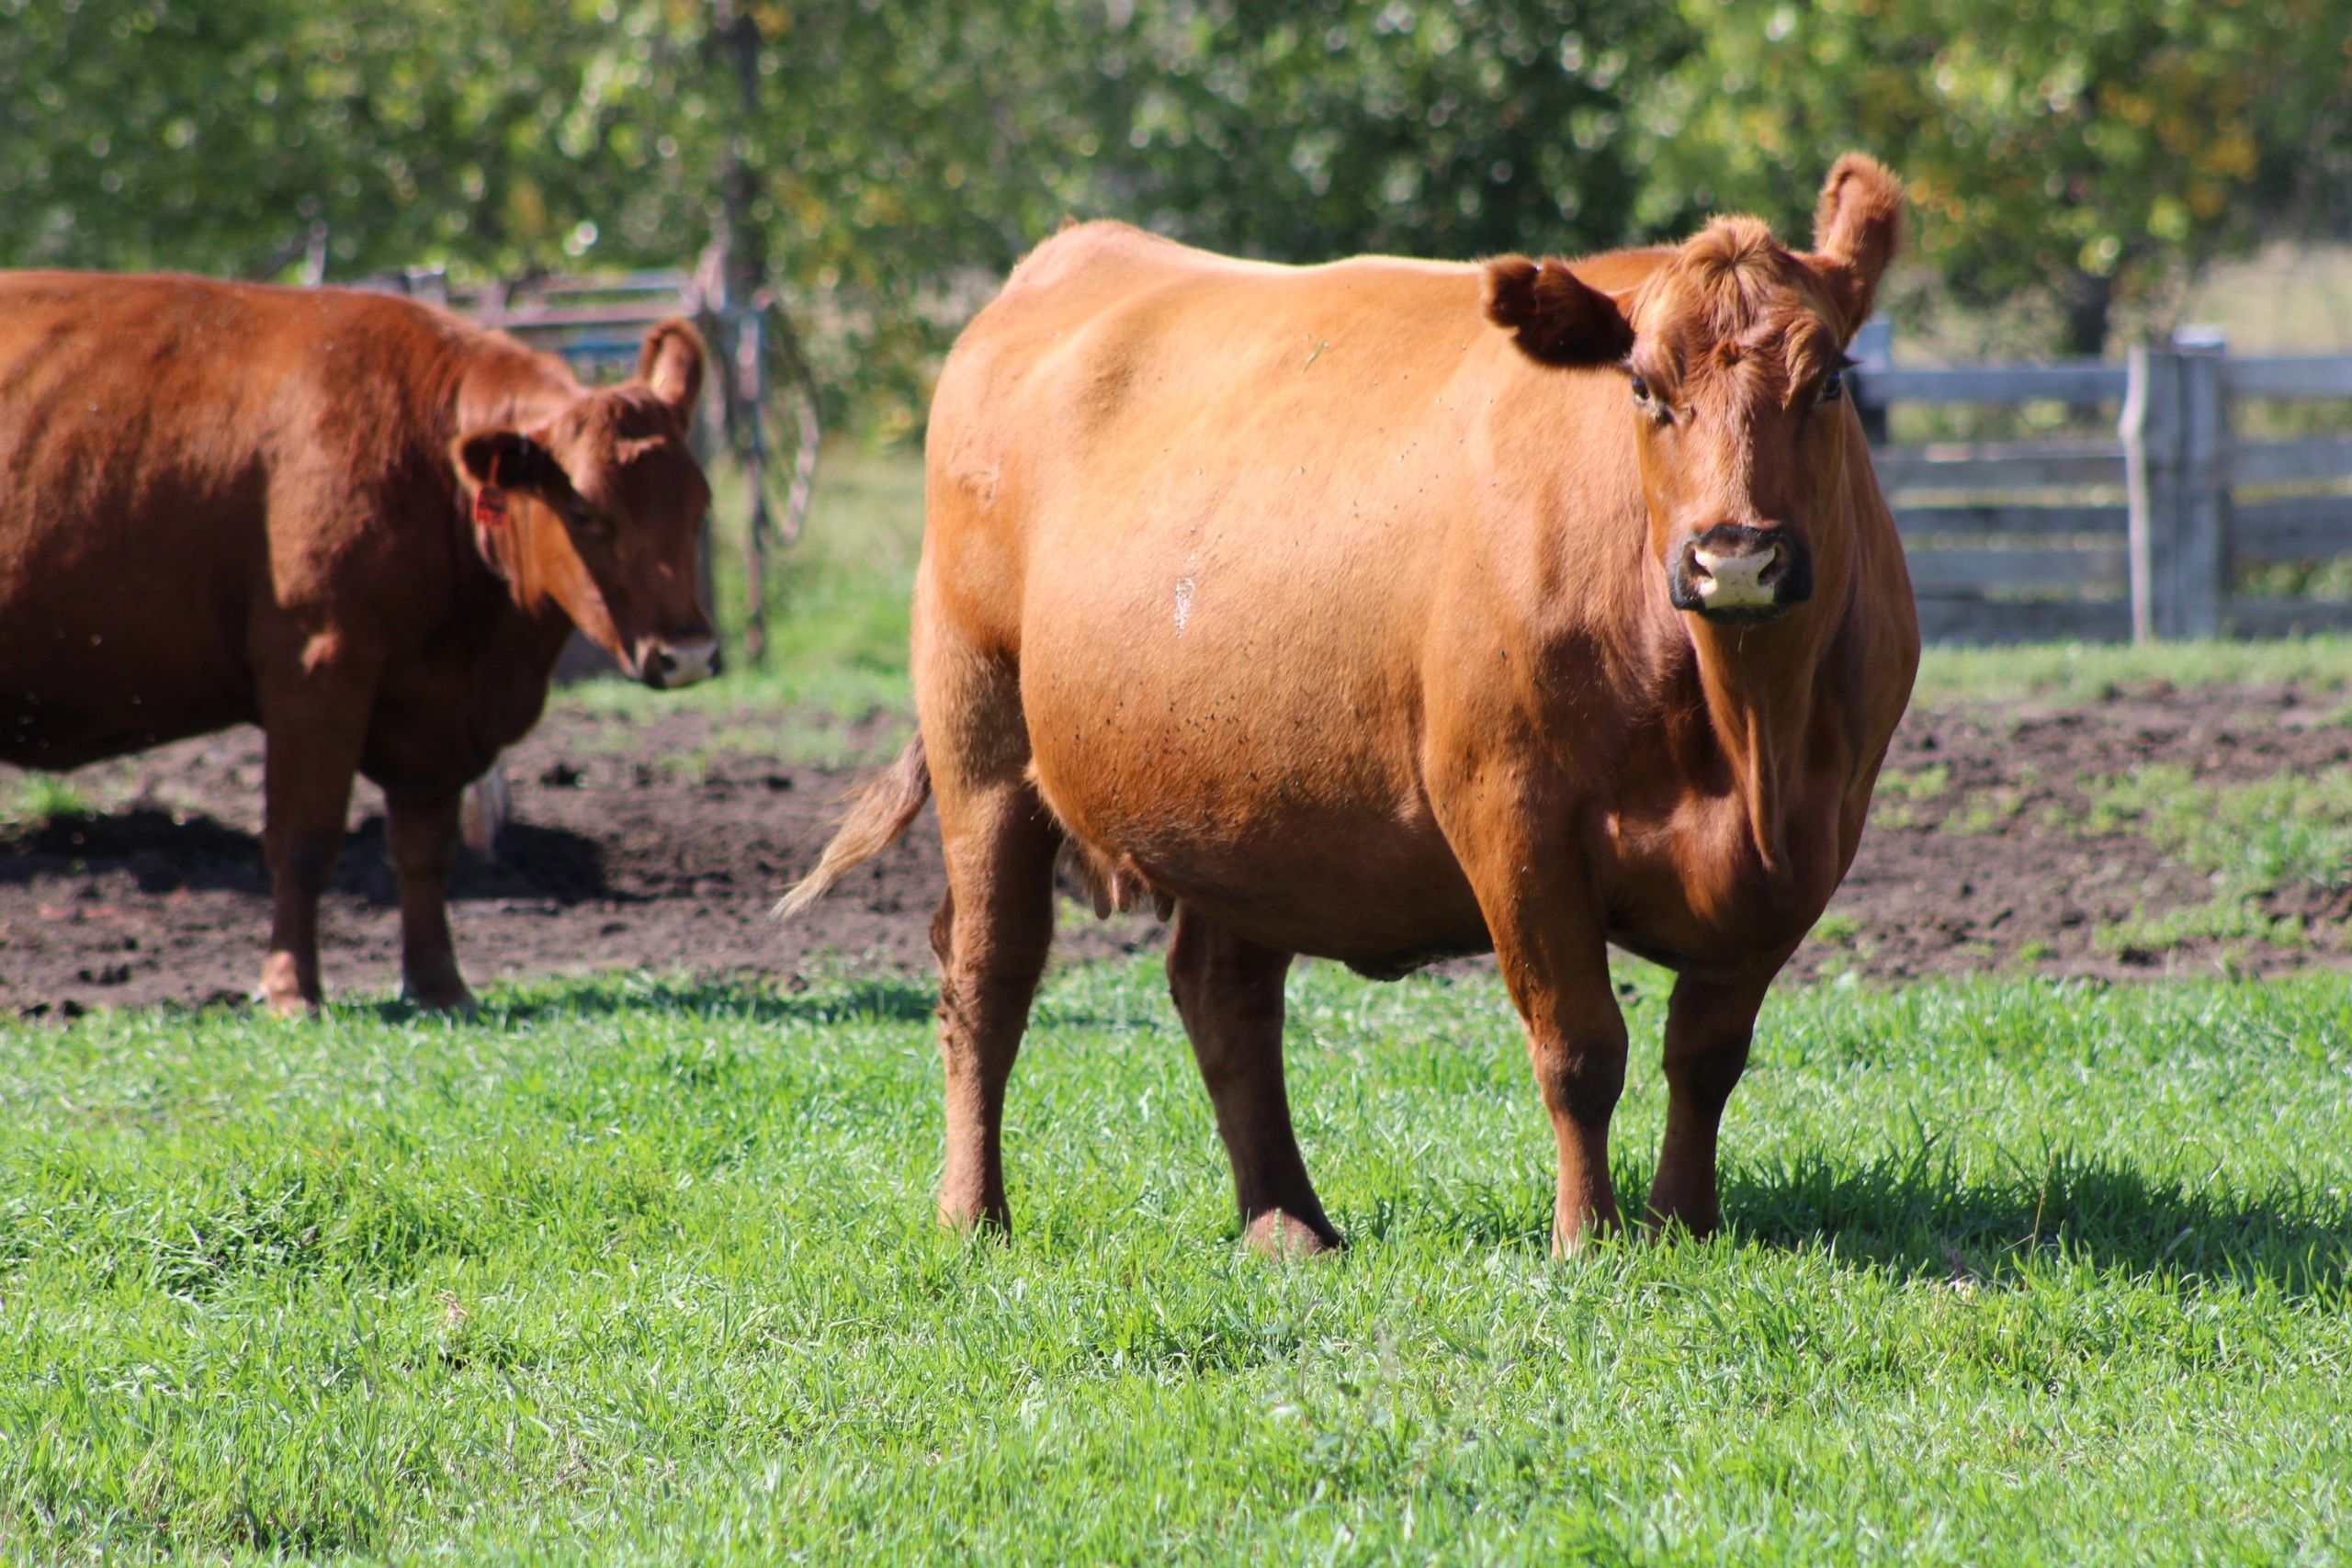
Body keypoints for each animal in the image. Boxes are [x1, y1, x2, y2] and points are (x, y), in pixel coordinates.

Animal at [0, 273, 720, 1014]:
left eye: (700, 504)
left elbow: (426, 850)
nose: (690, 653)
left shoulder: (434, 711)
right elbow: (304, 841)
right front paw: (292, 987)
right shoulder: (316, 670)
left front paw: (440, 984)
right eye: (584, 511)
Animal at [782, 155, 1918, 1256]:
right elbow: (1580, 1048)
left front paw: (1684, 1222)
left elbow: (1708, 1054)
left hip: (1244, 797)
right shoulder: (1510, 816)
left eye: (1828, 382)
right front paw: (1586, 1240)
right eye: (1642, 385)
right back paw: (974, 1219)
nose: (1734, 555)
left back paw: (1285, 1221)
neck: (1745, 736)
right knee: (989, 977)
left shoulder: (1814, 842)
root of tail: (1074, 255)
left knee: (1223, 995)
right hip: (978, 737)